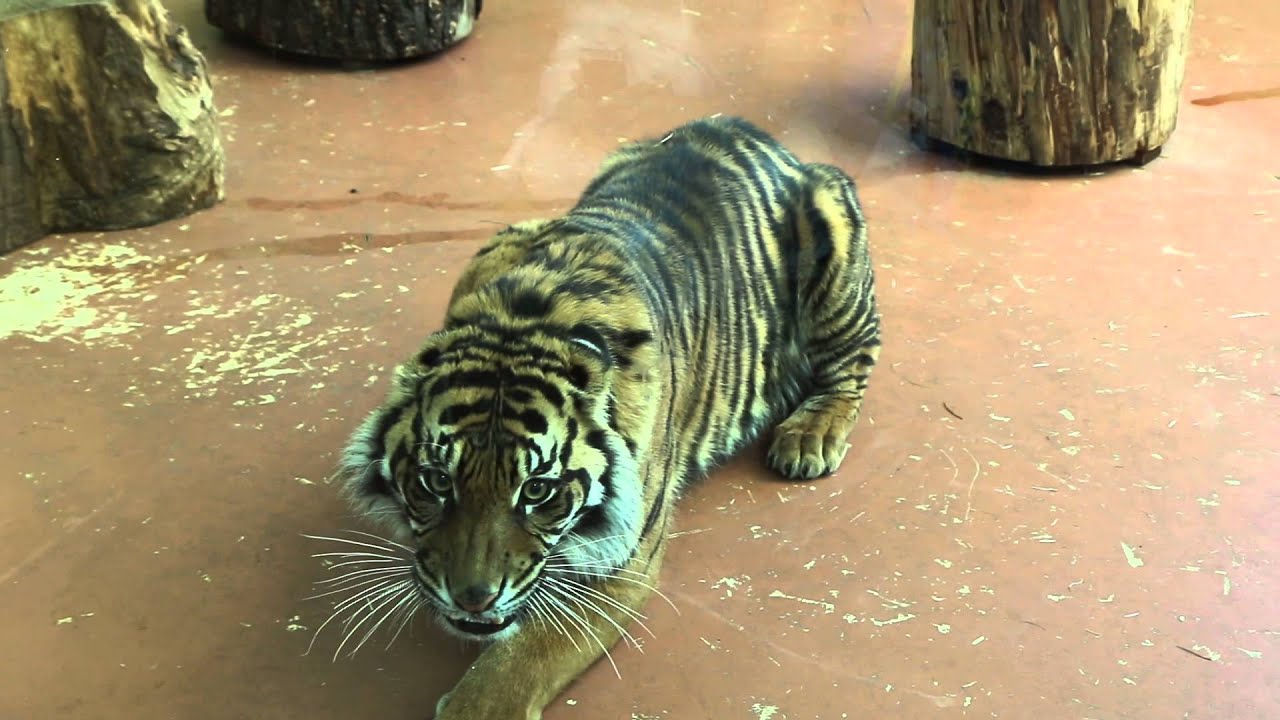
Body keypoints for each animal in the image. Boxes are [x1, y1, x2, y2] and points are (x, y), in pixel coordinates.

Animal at [336, 115, 880, 719]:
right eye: (435, 481)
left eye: (538, 490)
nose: (472, 598)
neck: (525, 324)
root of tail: (756, 133)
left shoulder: (622, 561)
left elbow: (522, 656)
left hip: (834, 232)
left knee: (854, 361)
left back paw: (809, 436)